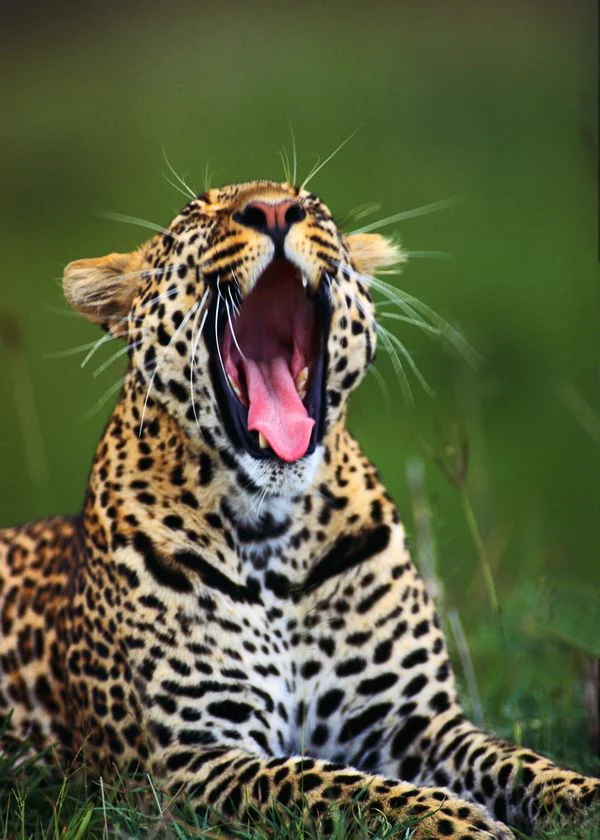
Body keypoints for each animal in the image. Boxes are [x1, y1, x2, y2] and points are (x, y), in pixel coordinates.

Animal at [0, 179, 597, 839]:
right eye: (199, 214)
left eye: (311, 206)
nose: (275, 209)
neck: (272, 531)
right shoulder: (183, 765)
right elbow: (339, 786)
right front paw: (459, 821)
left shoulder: (417, 724)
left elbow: (526, 765)